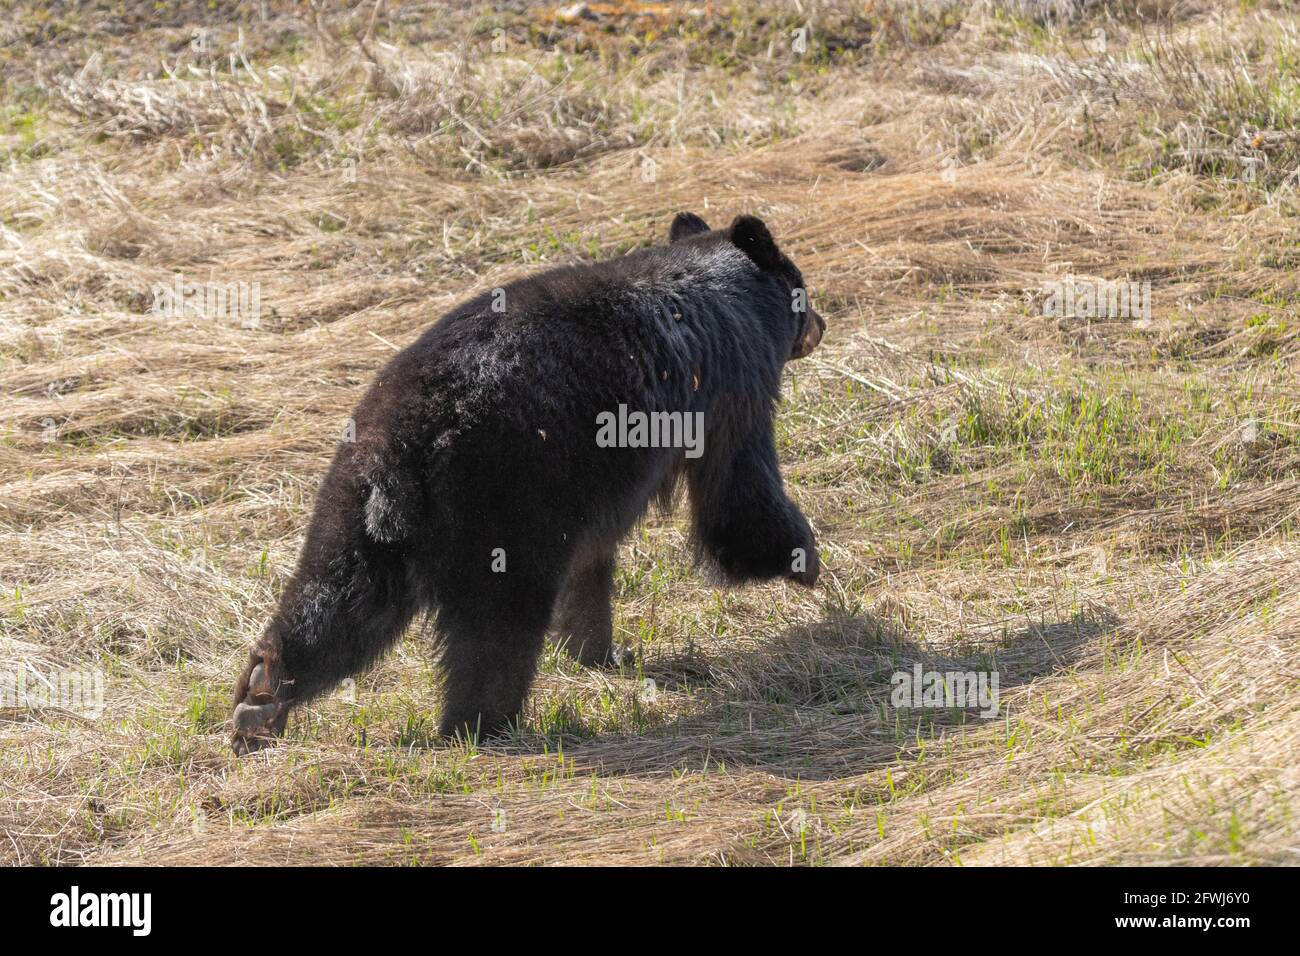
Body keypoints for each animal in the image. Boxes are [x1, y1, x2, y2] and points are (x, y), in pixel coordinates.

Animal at [230, 212, 825, 754]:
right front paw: (806, 563)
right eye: (802, 288)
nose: (821, 325)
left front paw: (596, 651)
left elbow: (592, 563)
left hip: (351, 507)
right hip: (505, 505)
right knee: (495, 632)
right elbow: (738, 493)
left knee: (337, 601)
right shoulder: (730, 385)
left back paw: (262, 698)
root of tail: (402, 452)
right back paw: (485, 726)